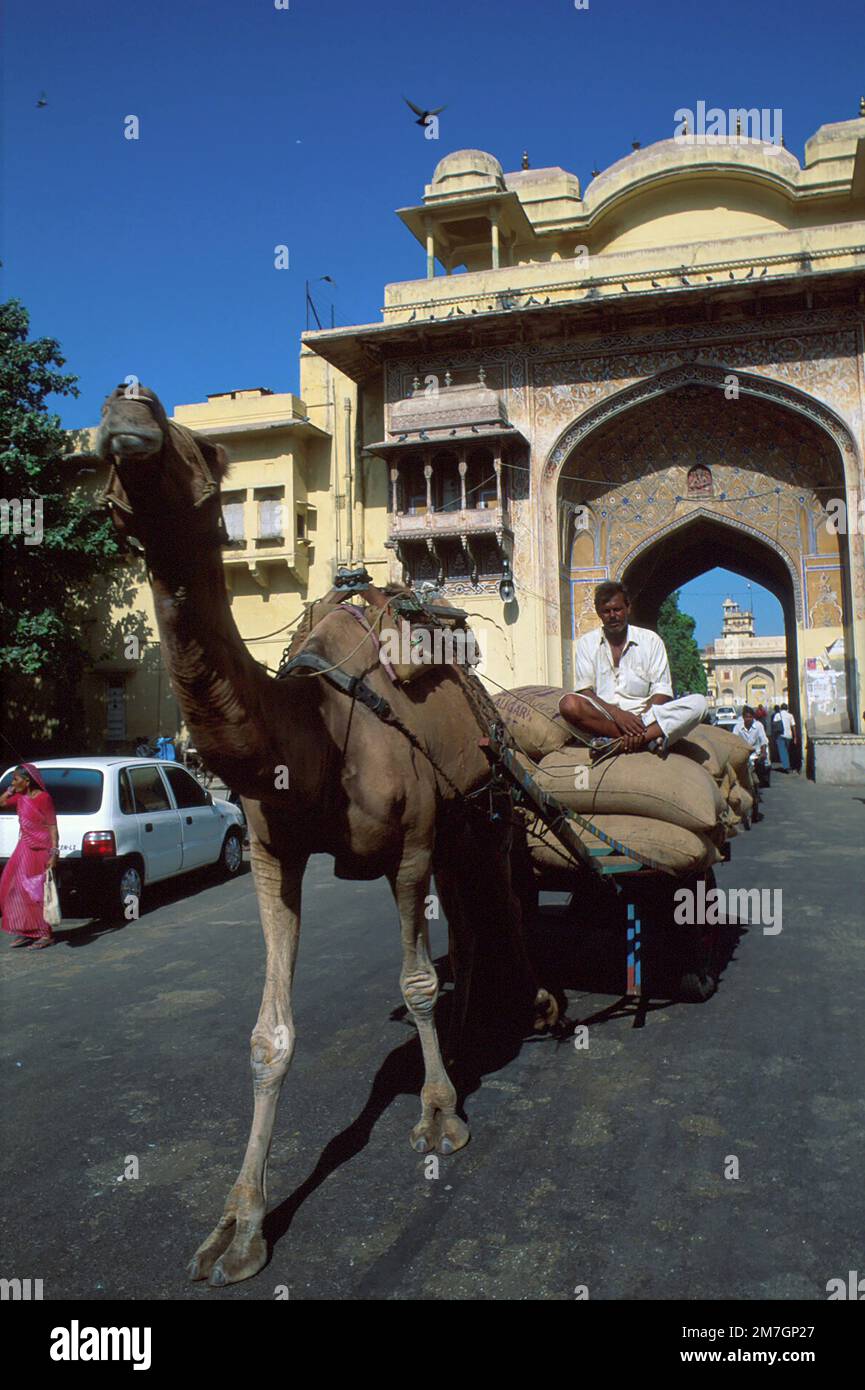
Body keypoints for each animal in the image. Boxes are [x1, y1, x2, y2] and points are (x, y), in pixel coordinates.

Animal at [92, 385, 556, 1287]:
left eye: (206, 450)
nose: (129, 407)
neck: (313, 734)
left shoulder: (407, 845)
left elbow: (415, 982)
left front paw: (437, 1117)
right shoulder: (275, 856)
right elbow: (268, 1034)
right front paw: (238, 1227)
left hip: (484, 811)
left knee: (506, 898)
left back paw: (537, 1005)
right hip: (458, 827)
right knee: (473, 917)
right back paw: (475, 1027)